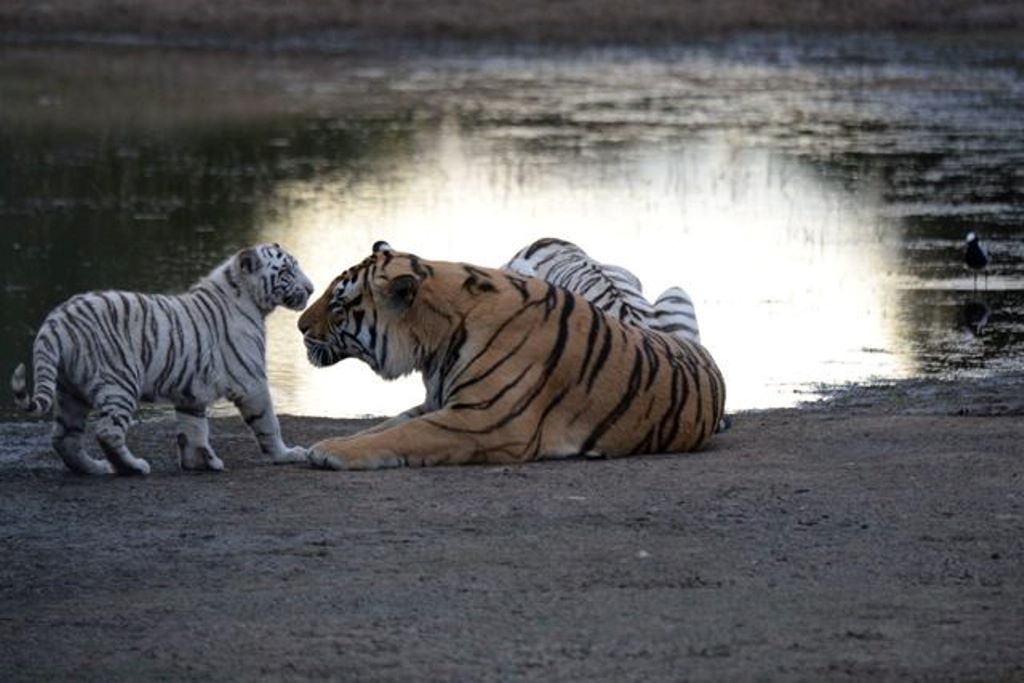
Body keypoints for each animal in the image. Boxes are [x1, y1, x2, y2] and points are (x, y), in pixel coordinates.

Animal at [10, 243, 314, 476]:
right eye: (286, 272)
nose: (311, 289)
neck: (249, 298)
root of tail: (57, 319)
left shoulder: (191, 390)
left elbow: (193, 429)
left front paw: (199, 463)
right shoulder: (251, 381)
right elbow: (268, 422)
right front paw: (287, 454)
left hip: (70, 391)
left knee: (65, 439)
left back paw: (96, 468)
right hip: (121, 381)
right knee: (107, 431)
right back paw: (133, 467)